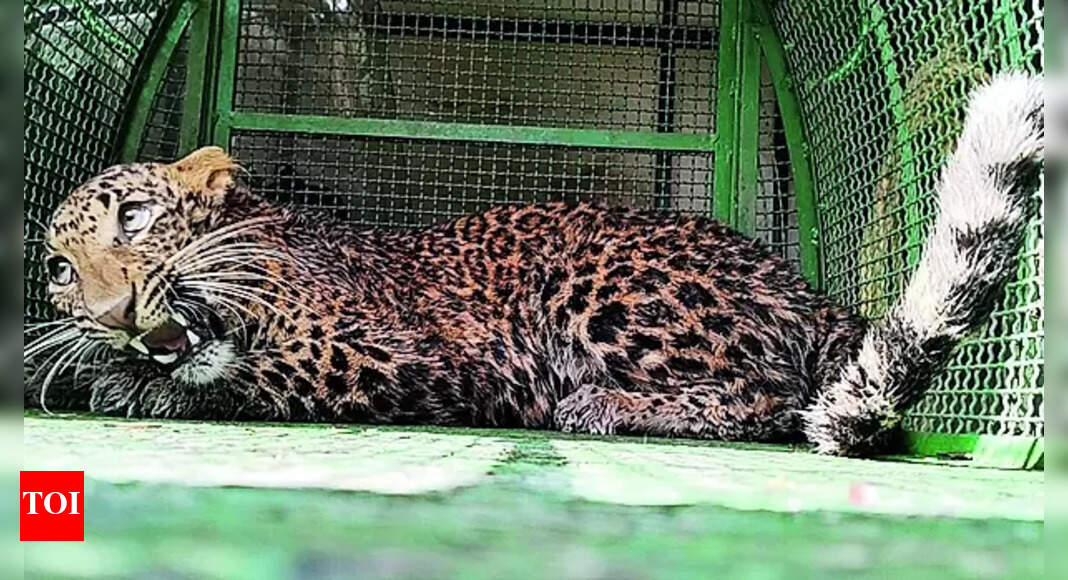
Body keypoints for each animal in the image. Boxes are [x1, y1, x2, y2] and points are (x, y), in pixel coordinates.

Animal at [25, 73, 1044, 456]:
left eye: (137, 218)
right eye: (61, 272)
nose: (113, 316)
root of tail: (809, 291)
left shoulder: (418, 355)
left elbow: (274, 372)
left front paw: (131, 385)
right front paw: (105, 370)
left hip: (599, 278)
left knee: (772, 400)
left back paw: (601, 406)